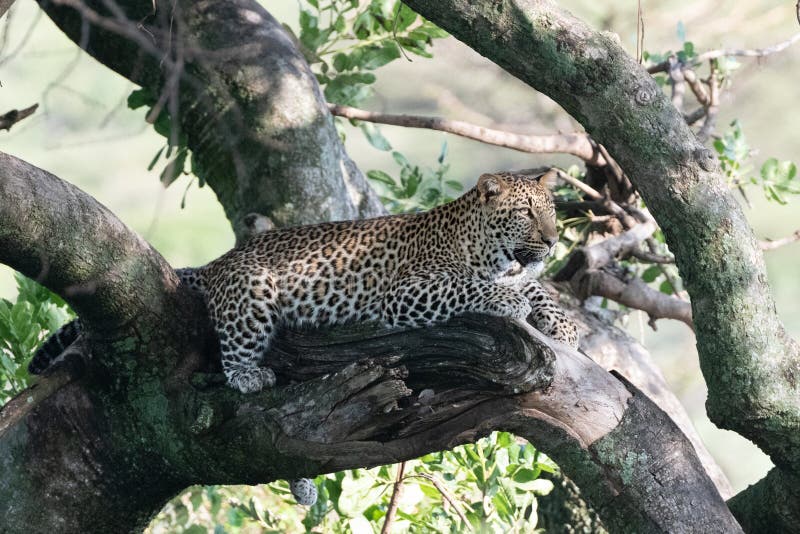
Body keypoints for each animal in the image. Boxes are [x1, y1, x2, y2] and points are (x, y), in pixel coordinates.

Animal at [29, 169, 579, 506]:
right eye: (526, 214)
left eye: (553, 212)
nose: (554, 241)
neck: (488, 248)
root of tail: (217, 263)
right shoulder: (407, 293)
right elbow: (472, 287)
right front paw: (513, 303)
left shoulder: (517, 272)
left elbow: (536, 286)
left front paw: (564, 325)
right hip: (252, 293)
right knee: (238, 363)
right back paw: (249, 376)